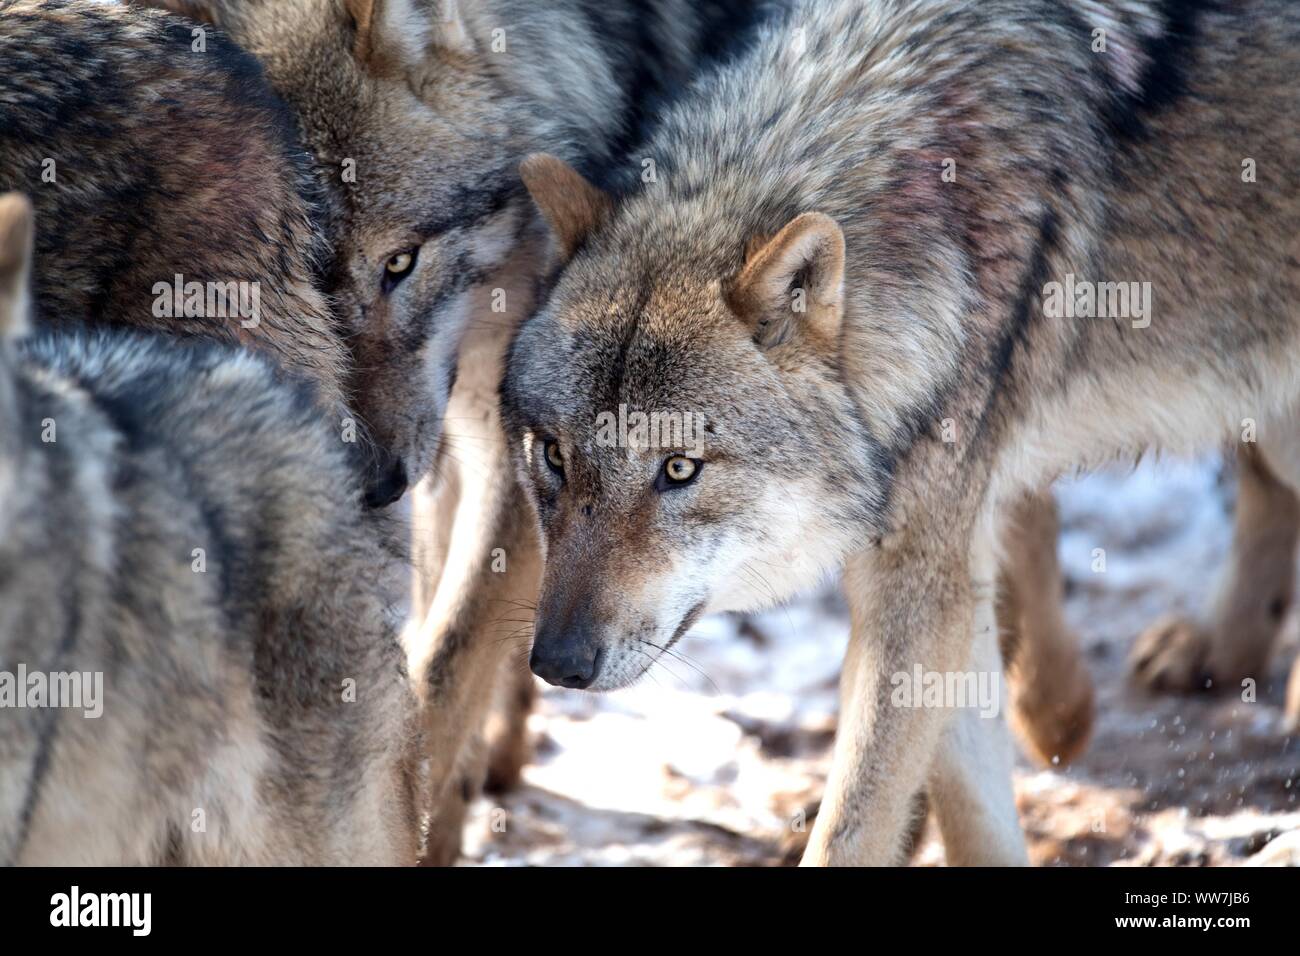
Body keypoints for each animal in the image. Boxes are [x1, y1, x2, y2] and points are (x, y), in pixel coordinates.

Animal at [505, 0, 1300, 864]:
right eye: (553, 455)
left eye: (680, 469)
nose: (557, 663)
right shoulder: (936, 572)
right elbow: (974, 808)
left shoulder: (923, 580)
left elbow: (854, 826)